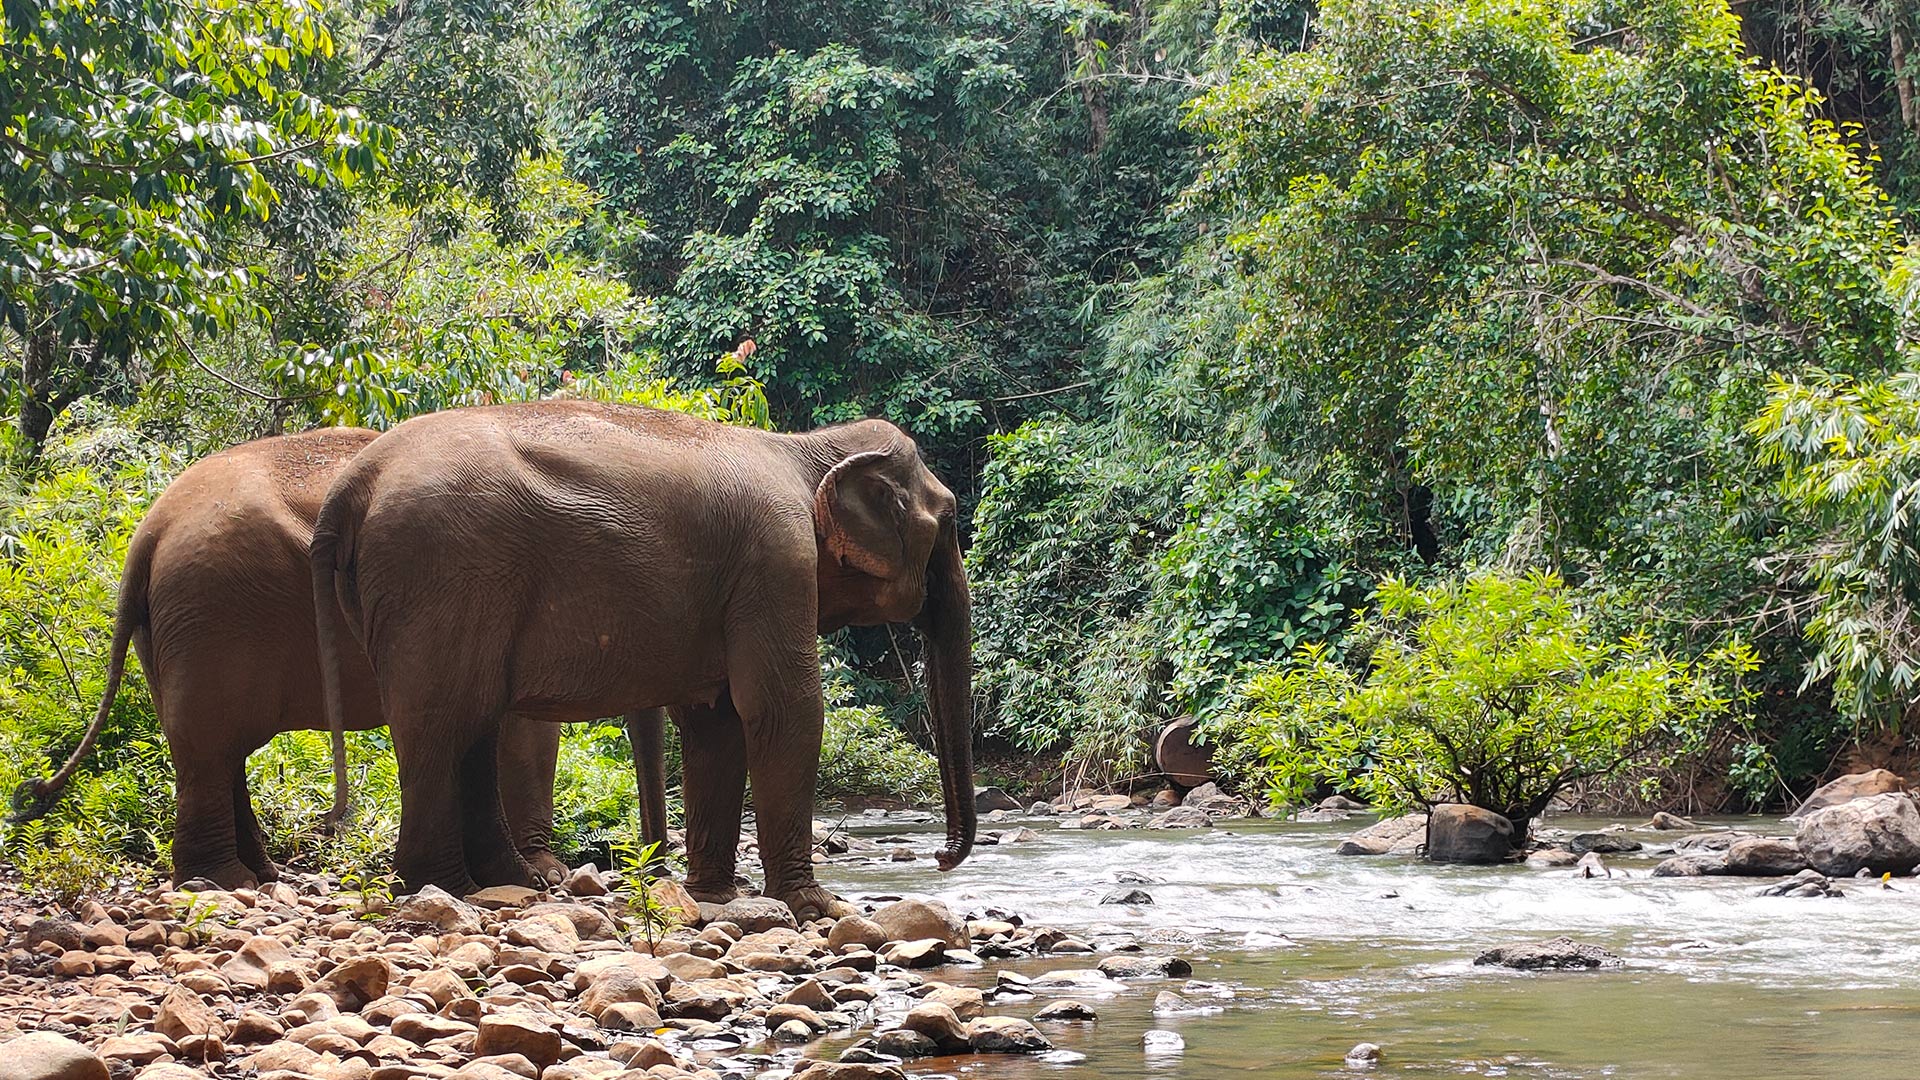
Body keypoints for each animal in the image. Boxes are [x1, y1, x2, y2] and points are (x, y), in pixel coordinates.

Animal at [11, 428, 572, 889]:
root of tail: (149, 533)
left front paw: (541, 874)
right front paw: (544, 876)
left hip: (177, 623)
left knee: (209, 743)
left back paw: (258, 873)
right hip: (219, 607)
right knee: (214, 741)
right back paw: (226, 881)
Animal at [310, 403, 975, 917]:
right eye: (949, 522)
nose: (942, 857)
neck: (805, 448)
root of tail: (352, 484)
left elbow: (716, 721)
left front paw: (715, 897)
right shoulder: (776, 561)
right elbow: (785, 710)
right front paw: (815, 907)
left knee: (468, 724)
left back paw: (503, 884)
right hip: (443, 577)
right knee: (443, 723)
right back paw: (443, 888)